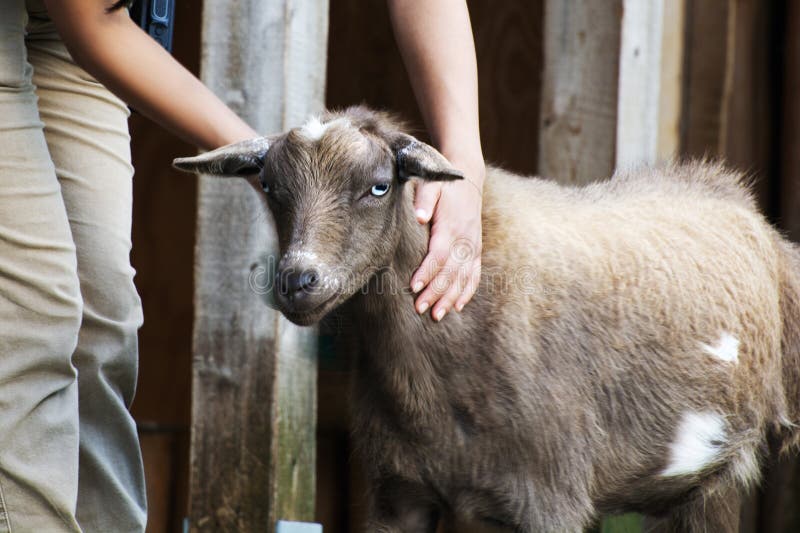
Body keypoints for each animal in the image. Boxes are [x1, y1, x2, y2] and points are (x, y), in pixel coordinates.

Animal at [174, 106, 800, 532]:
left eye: (379, 186)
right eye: (270, 187)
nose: (298, 281)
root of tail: (740, 203)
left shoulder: (548, 497)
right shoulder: (398, 494)